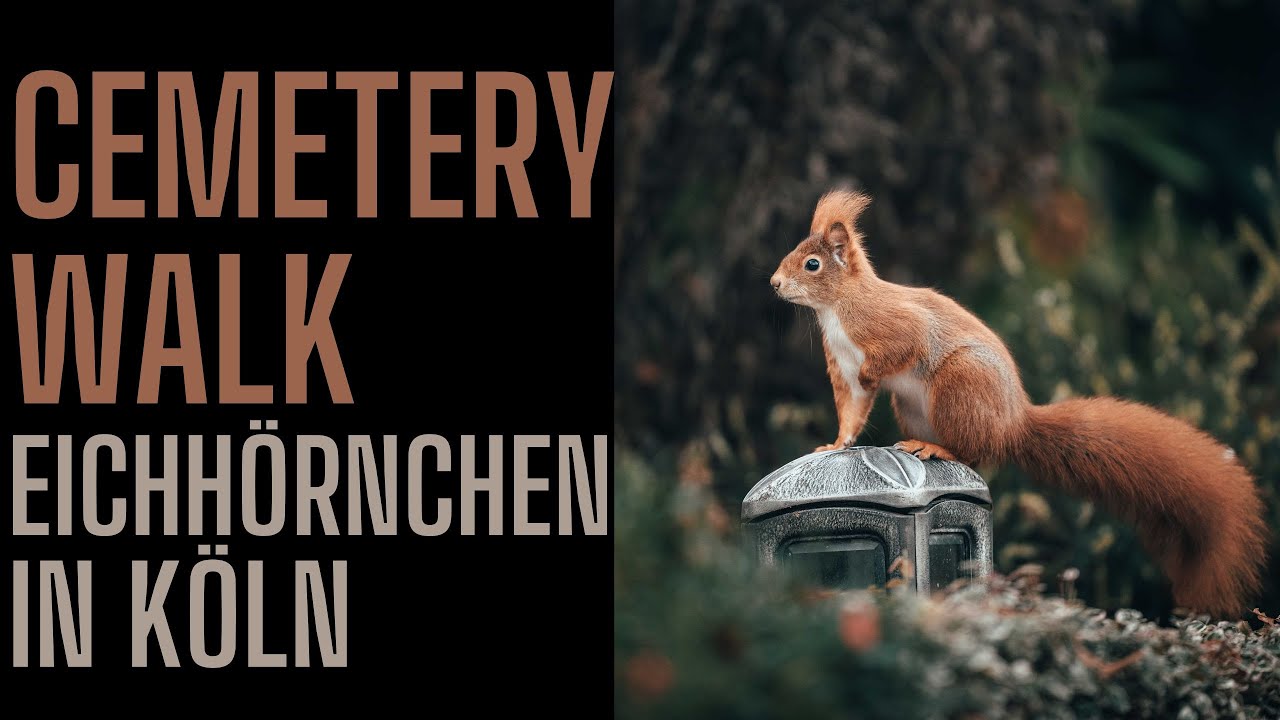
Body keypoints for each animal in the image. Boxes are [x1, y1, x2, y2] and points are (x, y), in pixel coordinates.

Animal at [770, 189, 1268, 617]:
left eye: (812, 264)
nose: (774, 284)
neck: (838, 308)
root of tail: (1013, 423)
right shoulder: (842, 369)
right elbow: (852, 411)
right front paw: (835, 445)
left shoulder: (895, 327)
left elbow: (901, 348)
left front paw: (874, 374)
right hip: (913, 406)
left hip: (960, 384)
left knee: (972, 451)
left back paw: (935, 448)